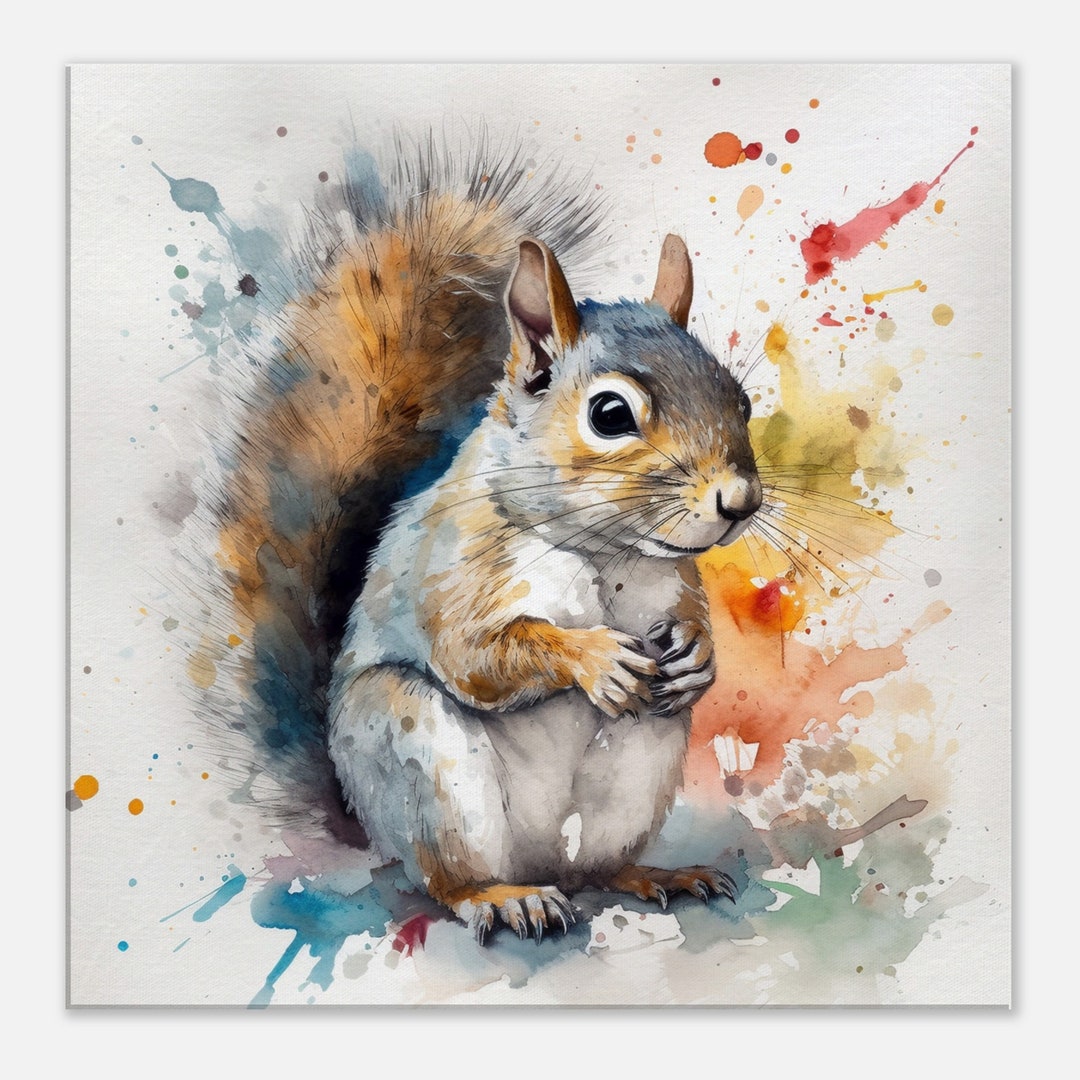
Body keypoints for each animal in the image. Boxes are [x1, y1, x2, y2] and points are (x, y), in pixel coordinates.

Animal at [193, 137, 762, 943]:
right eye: (610, 414)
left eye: (739, 400)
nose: (740, 501)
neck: (605, 555)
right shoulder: (457, 565)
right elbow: (474, 656)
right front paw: (591, 657)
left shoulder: (673, 582)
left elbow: (686, 626)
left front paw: (697, 657)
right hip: (419, 759)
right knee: (450, 879)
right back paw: (502, 898)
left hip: (639, 766)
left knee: (595, 867)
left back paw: (653, 874)